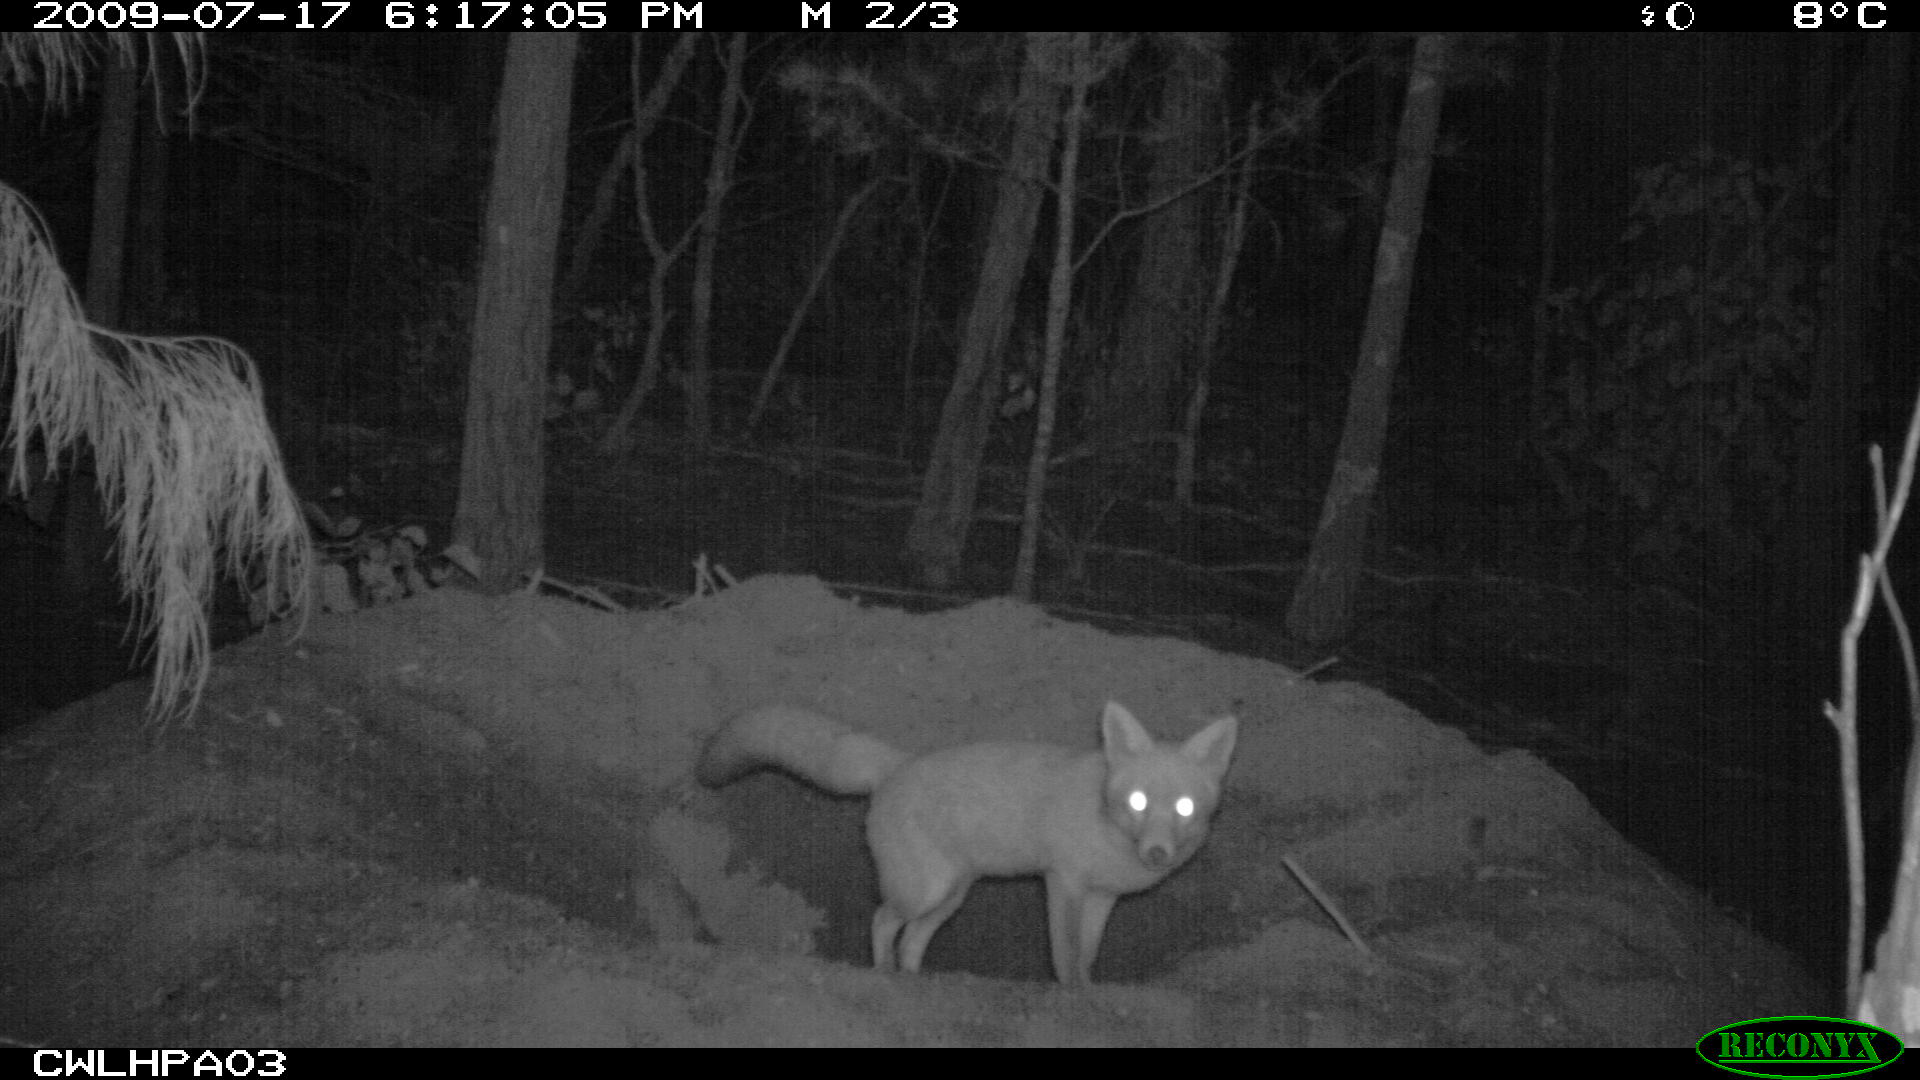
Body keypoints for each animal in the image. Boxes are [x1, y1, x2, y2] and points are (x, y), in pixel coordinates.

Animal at [695, 700, 1239, 985]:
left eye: (1184, 807)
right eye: (1139, 800)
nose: (1157, 854)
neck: (1106, 825)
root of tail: (898, 764)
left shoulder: (1103, 897)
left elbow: (1086, 954)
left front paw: (1087, 991)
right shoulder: (1062, 881)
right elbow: (1063, 952)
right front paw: (1067, 996)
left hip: (950, 897)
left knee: (912, 940)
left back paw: (913, 982)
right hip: (925, 891)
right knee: (882, 920)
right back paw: (884, 975)